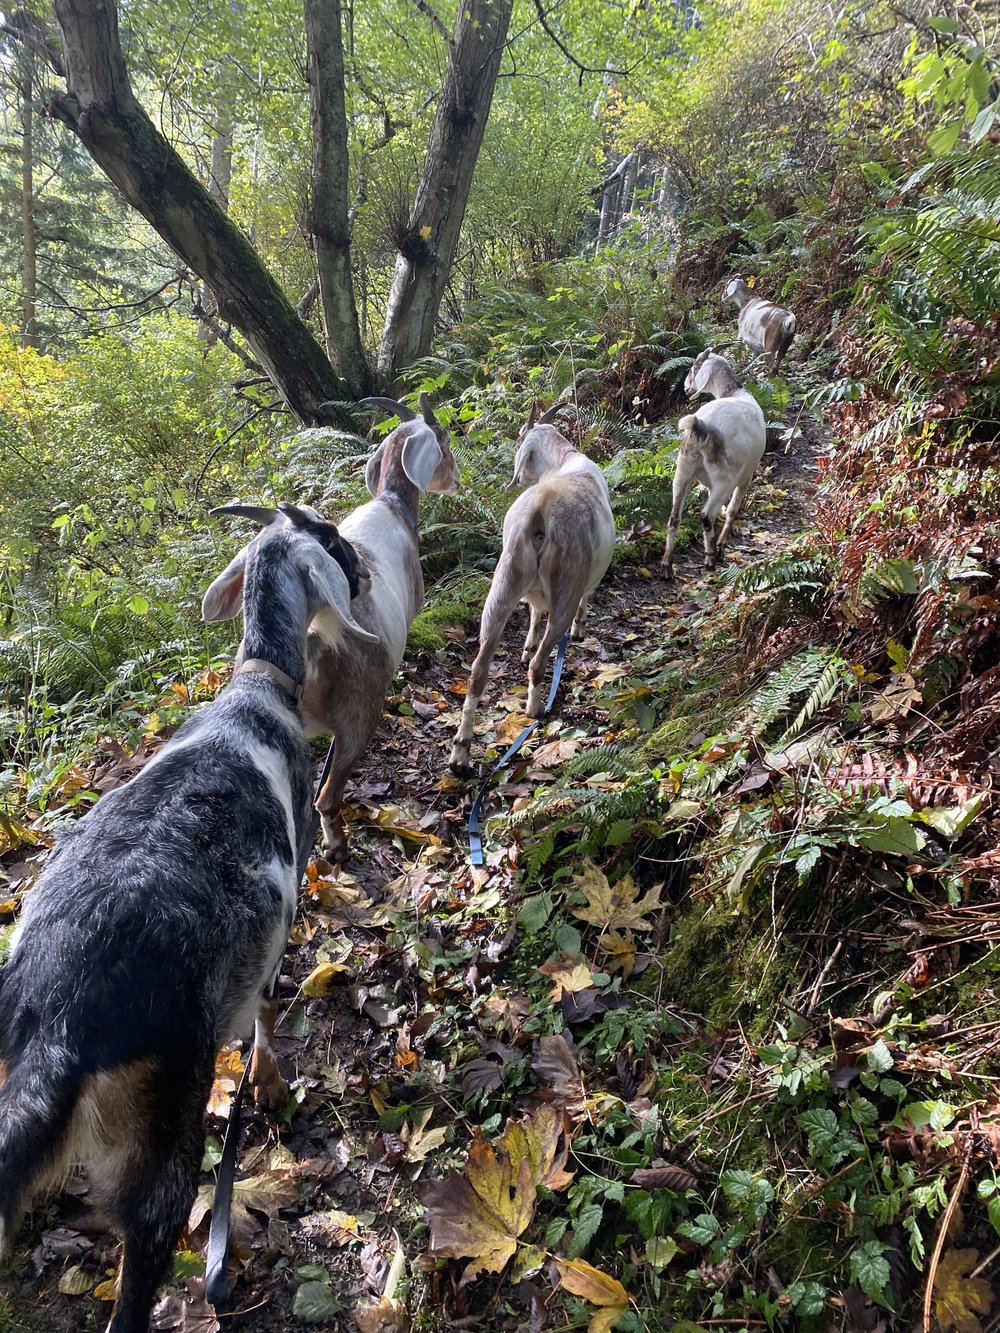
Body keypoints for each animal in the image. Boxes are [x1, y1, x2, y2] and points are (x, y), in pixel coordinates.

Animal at [0, 503, 376, 1333]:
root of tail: (56, 1016)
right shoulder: (285, 898)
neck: (254, 694)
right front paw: (268, 1083)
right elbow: (267, 1007)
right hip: (164, 1138)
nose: (365, 569)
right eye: (330, 537)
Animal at [299, 393, 460, 861]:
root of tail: (314, 638)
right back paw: (336, 847)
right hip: (358, 714)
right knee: (326, 796)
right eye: (444, 440)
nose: (456, 481)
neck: (391, 504)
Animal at [448, 404, 615, 776]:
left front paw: (525, 646)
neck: (565, 461)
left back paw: (461, 754)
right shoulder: (586, 580)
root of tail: (541, 510)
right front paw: (580, 630)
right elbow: (583, 601)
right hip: (566, 583)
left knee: (478, 670)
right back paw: (534, 707)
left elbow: (534, 610)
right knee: (540, 662)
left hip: (503, 583)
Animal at [661, 349, 767, 579]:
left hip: (683, 471)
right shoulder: (746, 476)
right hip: (724, 479)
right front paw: (721, 548)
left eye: (694, 367)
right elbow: (732, 511)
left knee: (674, 518)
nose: (685, 387)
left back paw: (667, 566)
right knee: (706, 514)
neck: (735, 392)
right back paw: (710, 558)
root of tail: (702, 426)